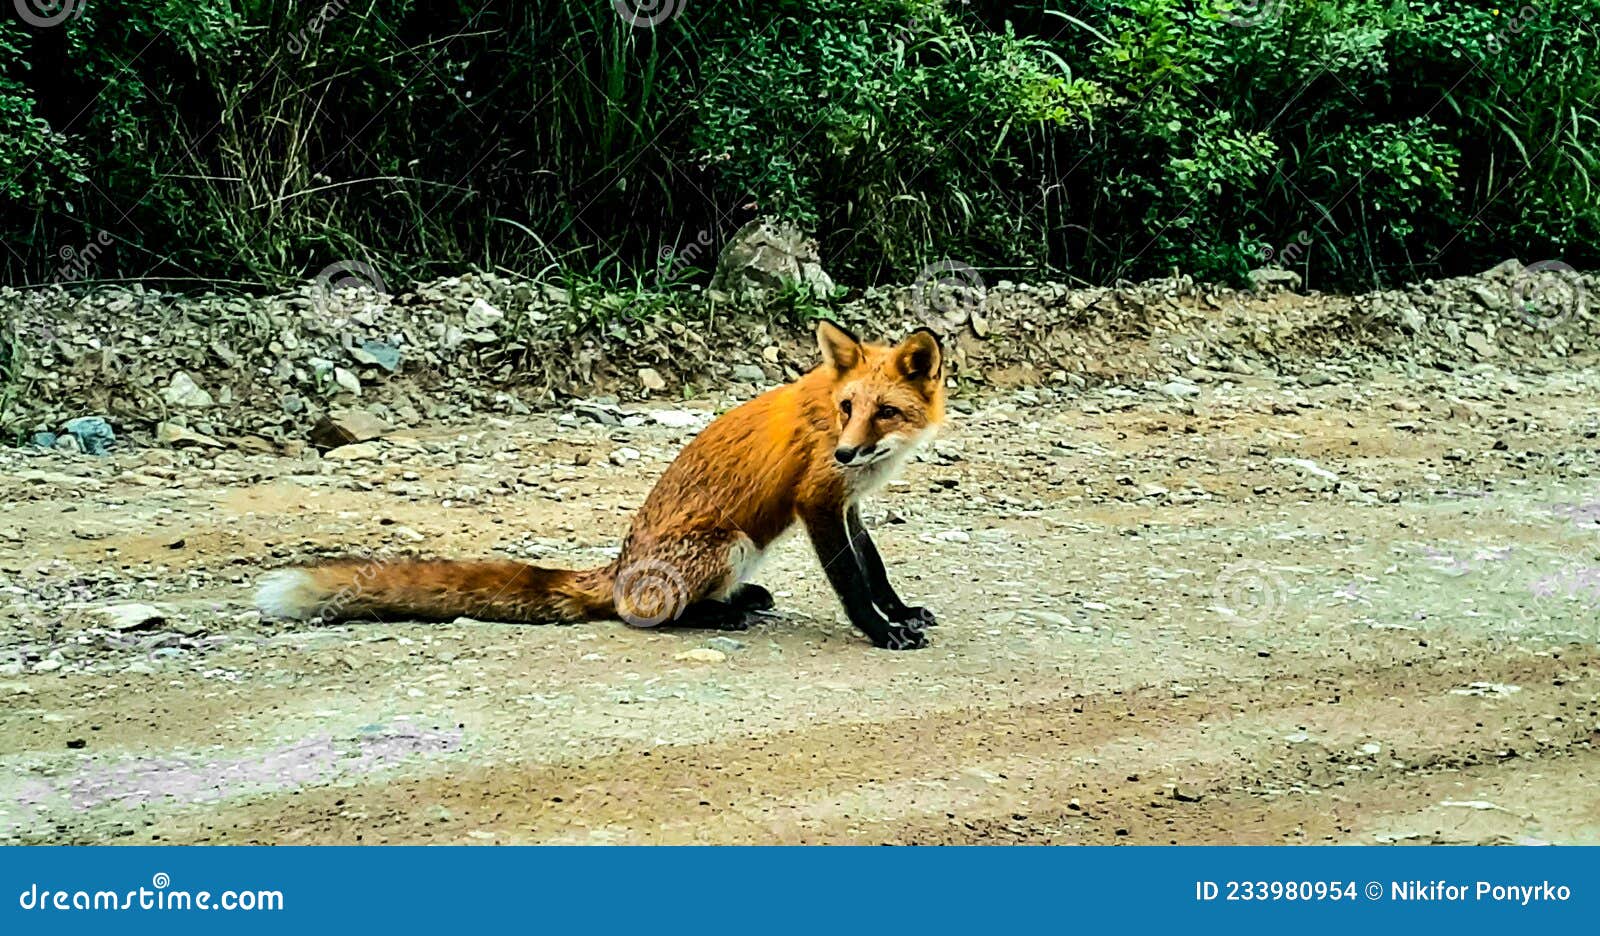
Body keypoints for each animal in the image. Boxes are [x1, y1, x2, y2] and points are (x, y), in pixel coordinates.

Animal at [255, 320, 945, 650]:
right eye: (847, 407)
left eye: (884, 411)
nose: (845, 449)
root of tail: (614, 569)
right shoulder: (817, 500)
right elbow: (852, 582)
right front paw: (880, 632)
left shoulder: (847, 504)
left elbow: (875, 568)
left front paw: (901, 612)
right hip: (728, 543)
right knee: (644, 614)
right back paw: (722, 613)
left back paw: (742, 601)